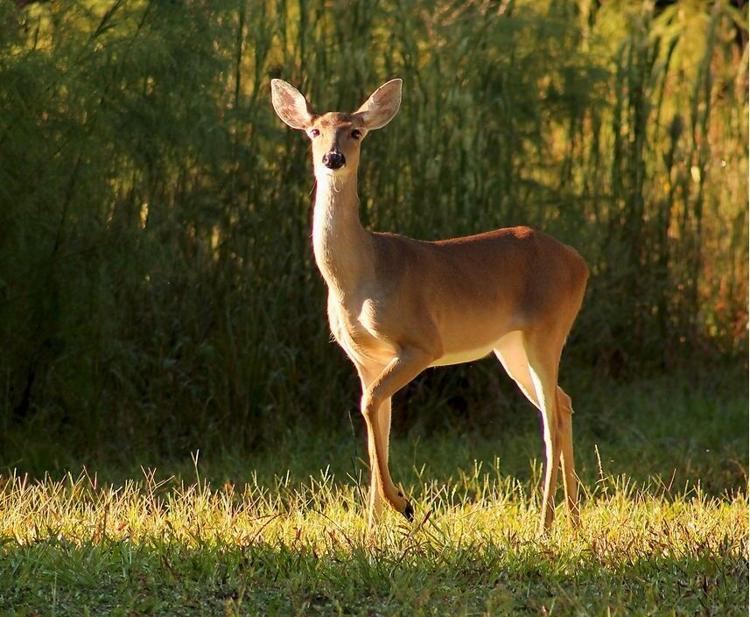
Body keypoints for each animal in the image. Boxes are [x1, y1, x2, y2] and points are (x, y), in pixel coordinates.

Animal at [270, 77, 589, 535]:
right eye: (315, 131)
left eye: (356, 132)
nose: (333, 158)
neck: (362, 273)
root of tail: (579, 263)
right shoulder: (364, 357)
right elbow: (377, 425)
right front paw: (372, 529)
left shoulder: (421, 343)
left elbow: (369, 406)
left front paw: (403, 504)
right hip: (510, 345)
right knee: (562, 403)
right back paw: (574, 520)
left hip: (547, 330)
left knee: (550, 419)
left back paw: (544, 524)